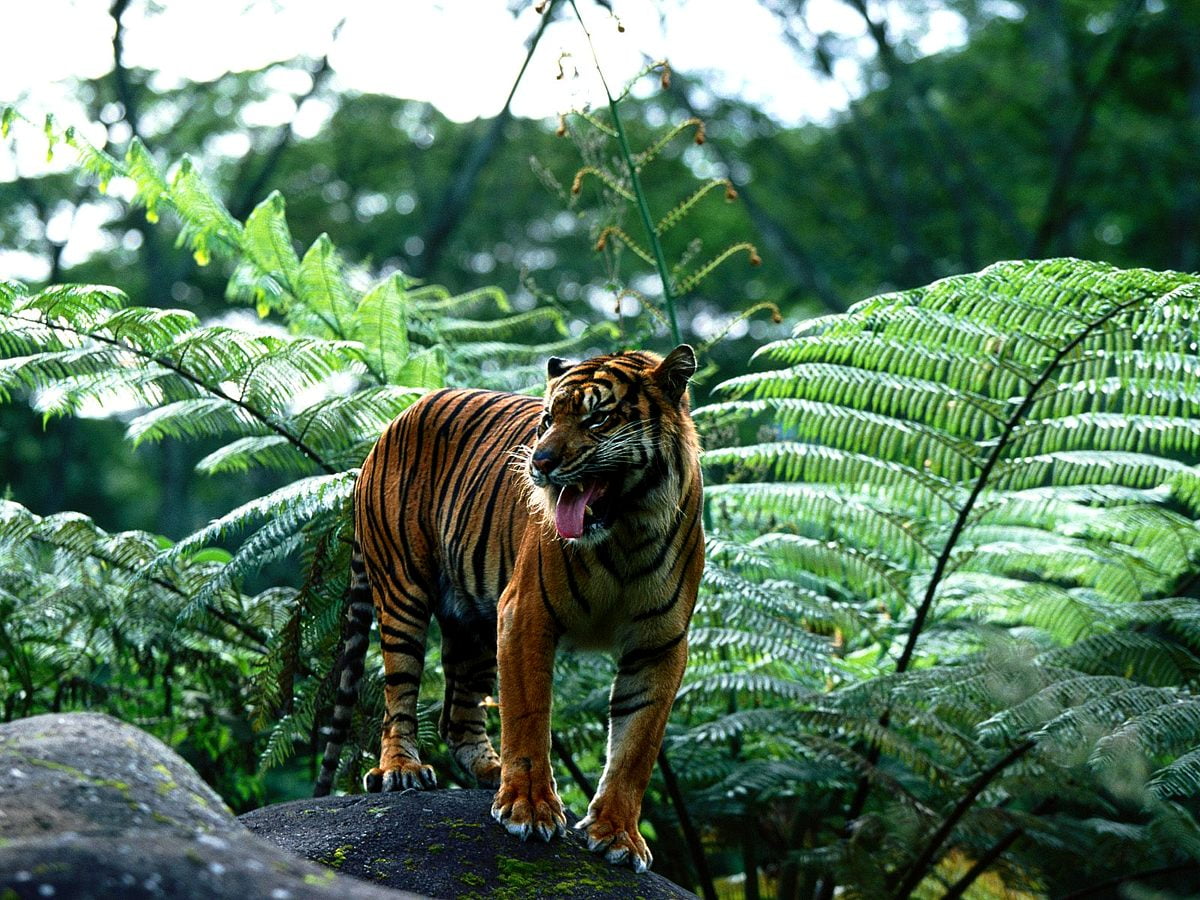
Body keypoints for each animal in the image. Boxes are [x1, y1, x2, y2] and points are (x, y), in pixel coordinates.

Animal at [314, 345, 705, 873]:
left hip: (473, 619)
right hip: (402, 590)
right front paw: (530, 809)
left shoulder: (660, 643)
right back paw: (401, 769)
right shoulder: (525, 613)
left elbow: (636, 745)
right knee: (398, 694)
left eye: (598, 418)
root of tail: (394, 422)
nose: (540, 462)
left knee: (457, 717)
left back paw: (489, 771)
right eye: (548, 419)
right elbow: (528, 716)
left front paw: (618, 836)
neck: (625, 533)